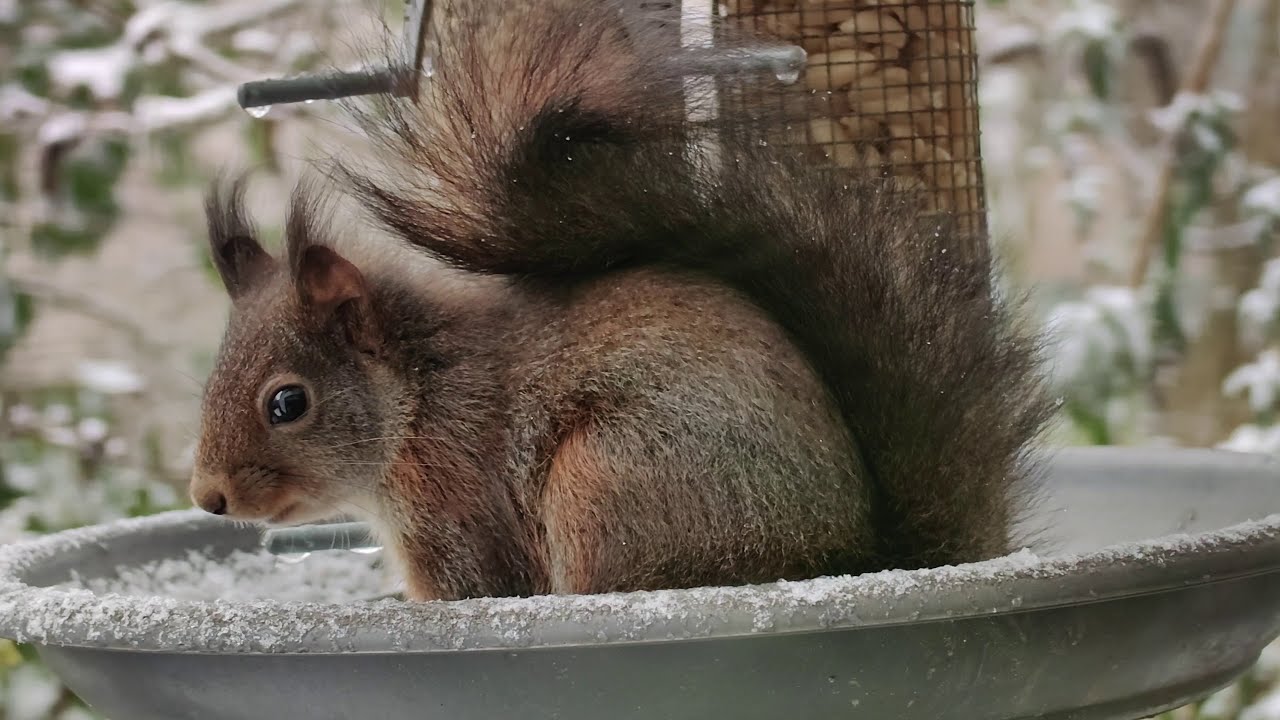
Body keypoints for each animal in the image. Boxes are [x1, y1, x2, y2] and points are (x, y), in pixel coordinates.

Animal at [187, 0, 1055, 601]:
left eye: (288, 403)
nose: (209, 499)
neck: (417, 402)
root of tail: (853, 557)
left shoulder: (458, 509)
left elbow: (470, 591)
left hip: (608, 480)